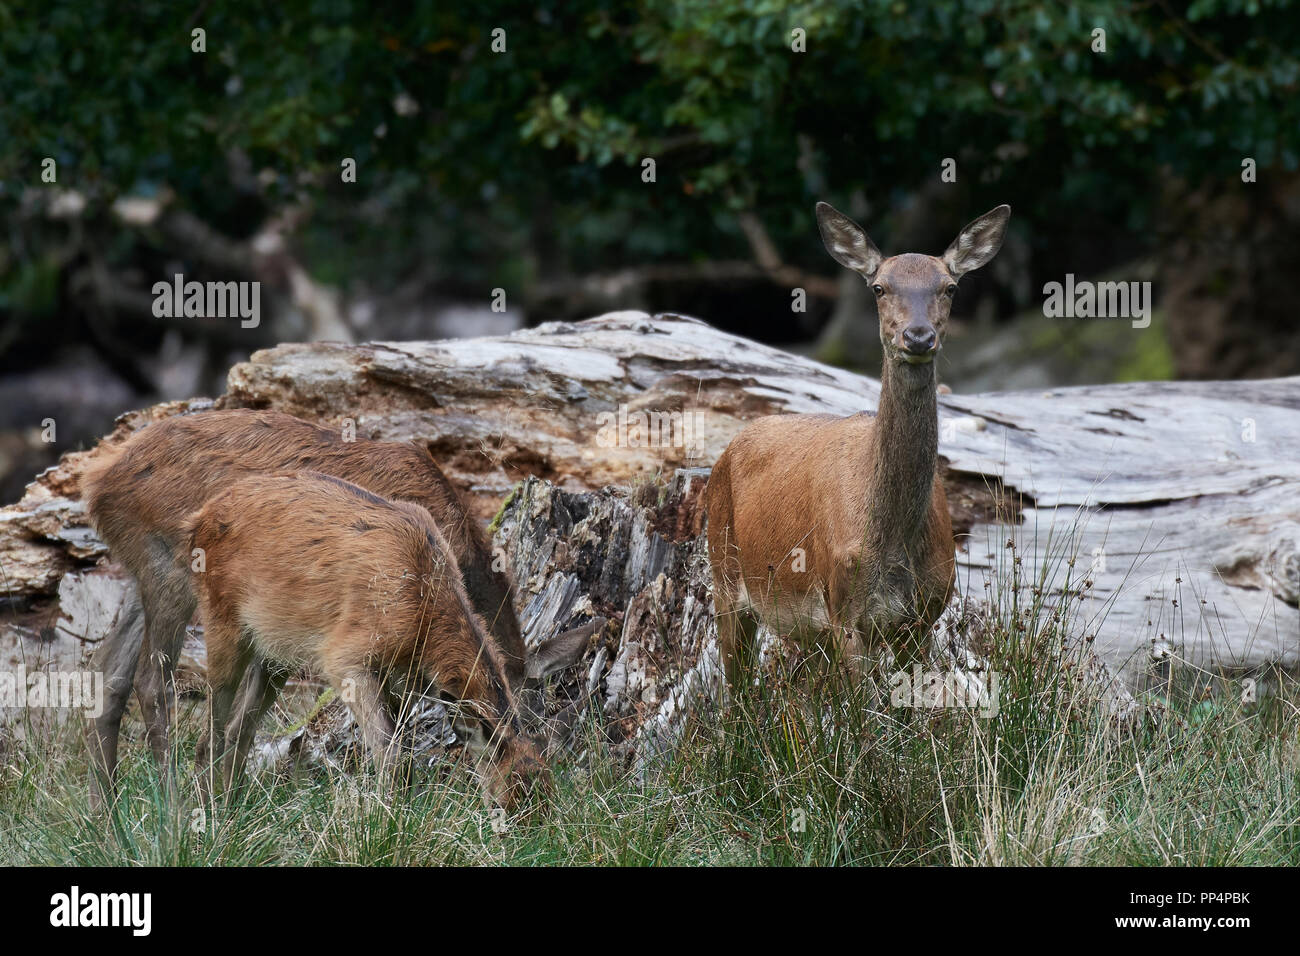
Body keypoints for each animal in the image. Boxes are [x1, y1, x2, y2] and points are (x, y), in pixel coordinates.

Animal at [186, 472, 544, 809]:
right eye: (502, 800)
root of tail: (198, 517)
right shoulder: (345, 657)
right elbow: (388, 749)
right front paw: (386, 817)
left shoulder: (401, 680)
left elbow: (404, 751)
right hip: (221, 619)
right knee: (210, 733)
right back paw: (210, 810)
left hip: (275, 649)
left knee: (239, 728)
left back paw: (232, 803)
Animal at [705, 201, 1011, 686]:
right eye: (880, 287)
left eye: (949, 287)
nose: (918, 336)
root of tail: (726, 451)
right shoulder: (844, 609)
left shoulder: (925, 616)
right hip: (723, 574)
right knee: (733, 688)